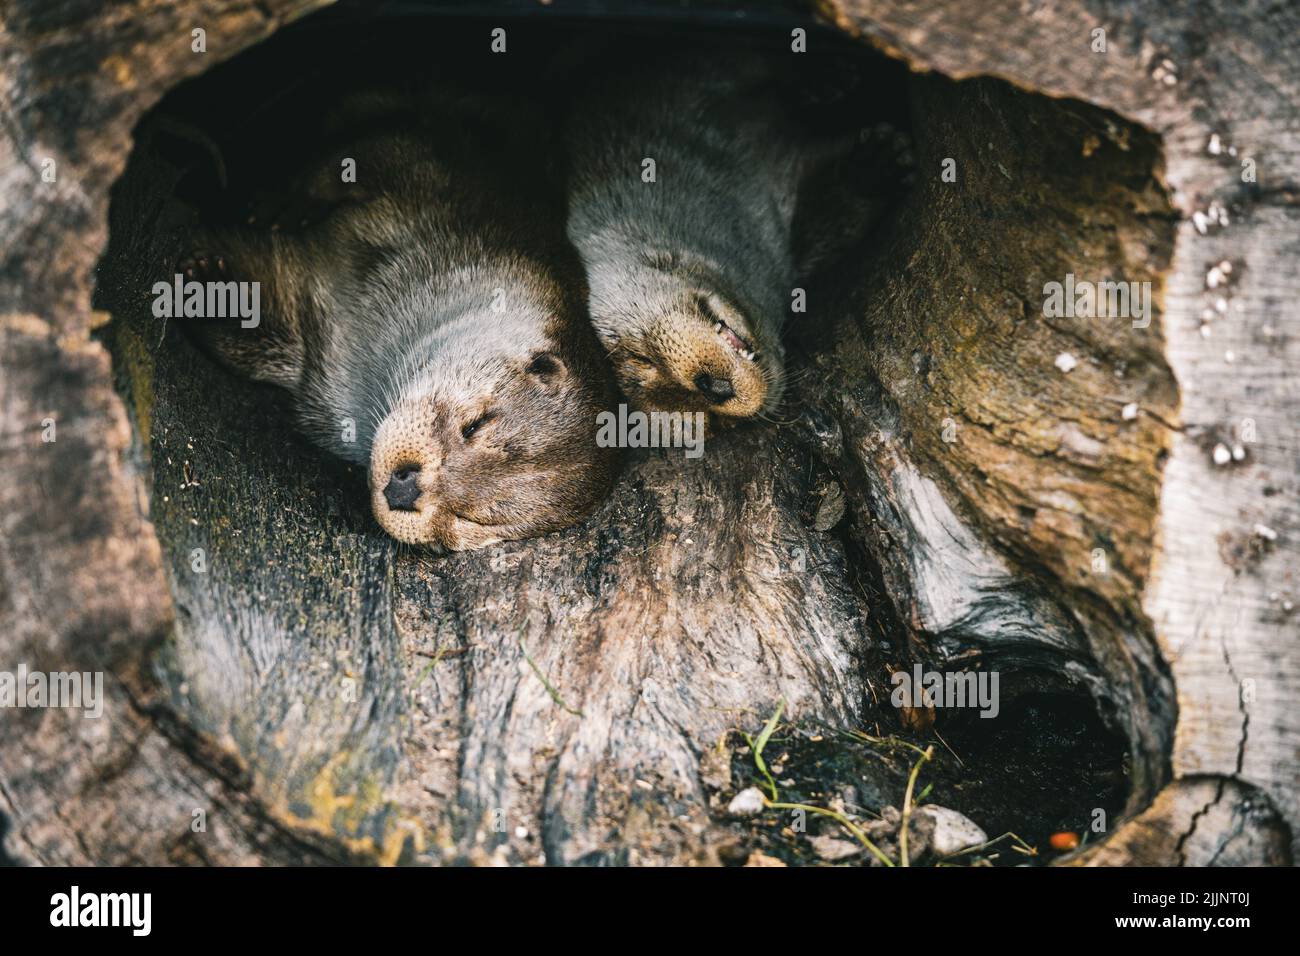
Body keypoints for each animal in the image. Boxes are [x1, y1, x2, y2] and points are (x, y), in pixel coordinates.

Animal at [173, 90, 620, 550]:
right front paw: (281, 206)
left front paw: (209, 284)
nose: (404, 489)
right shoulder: (437, 169)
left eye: (473, 519)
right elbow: (366, 152)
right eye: (476, 425)